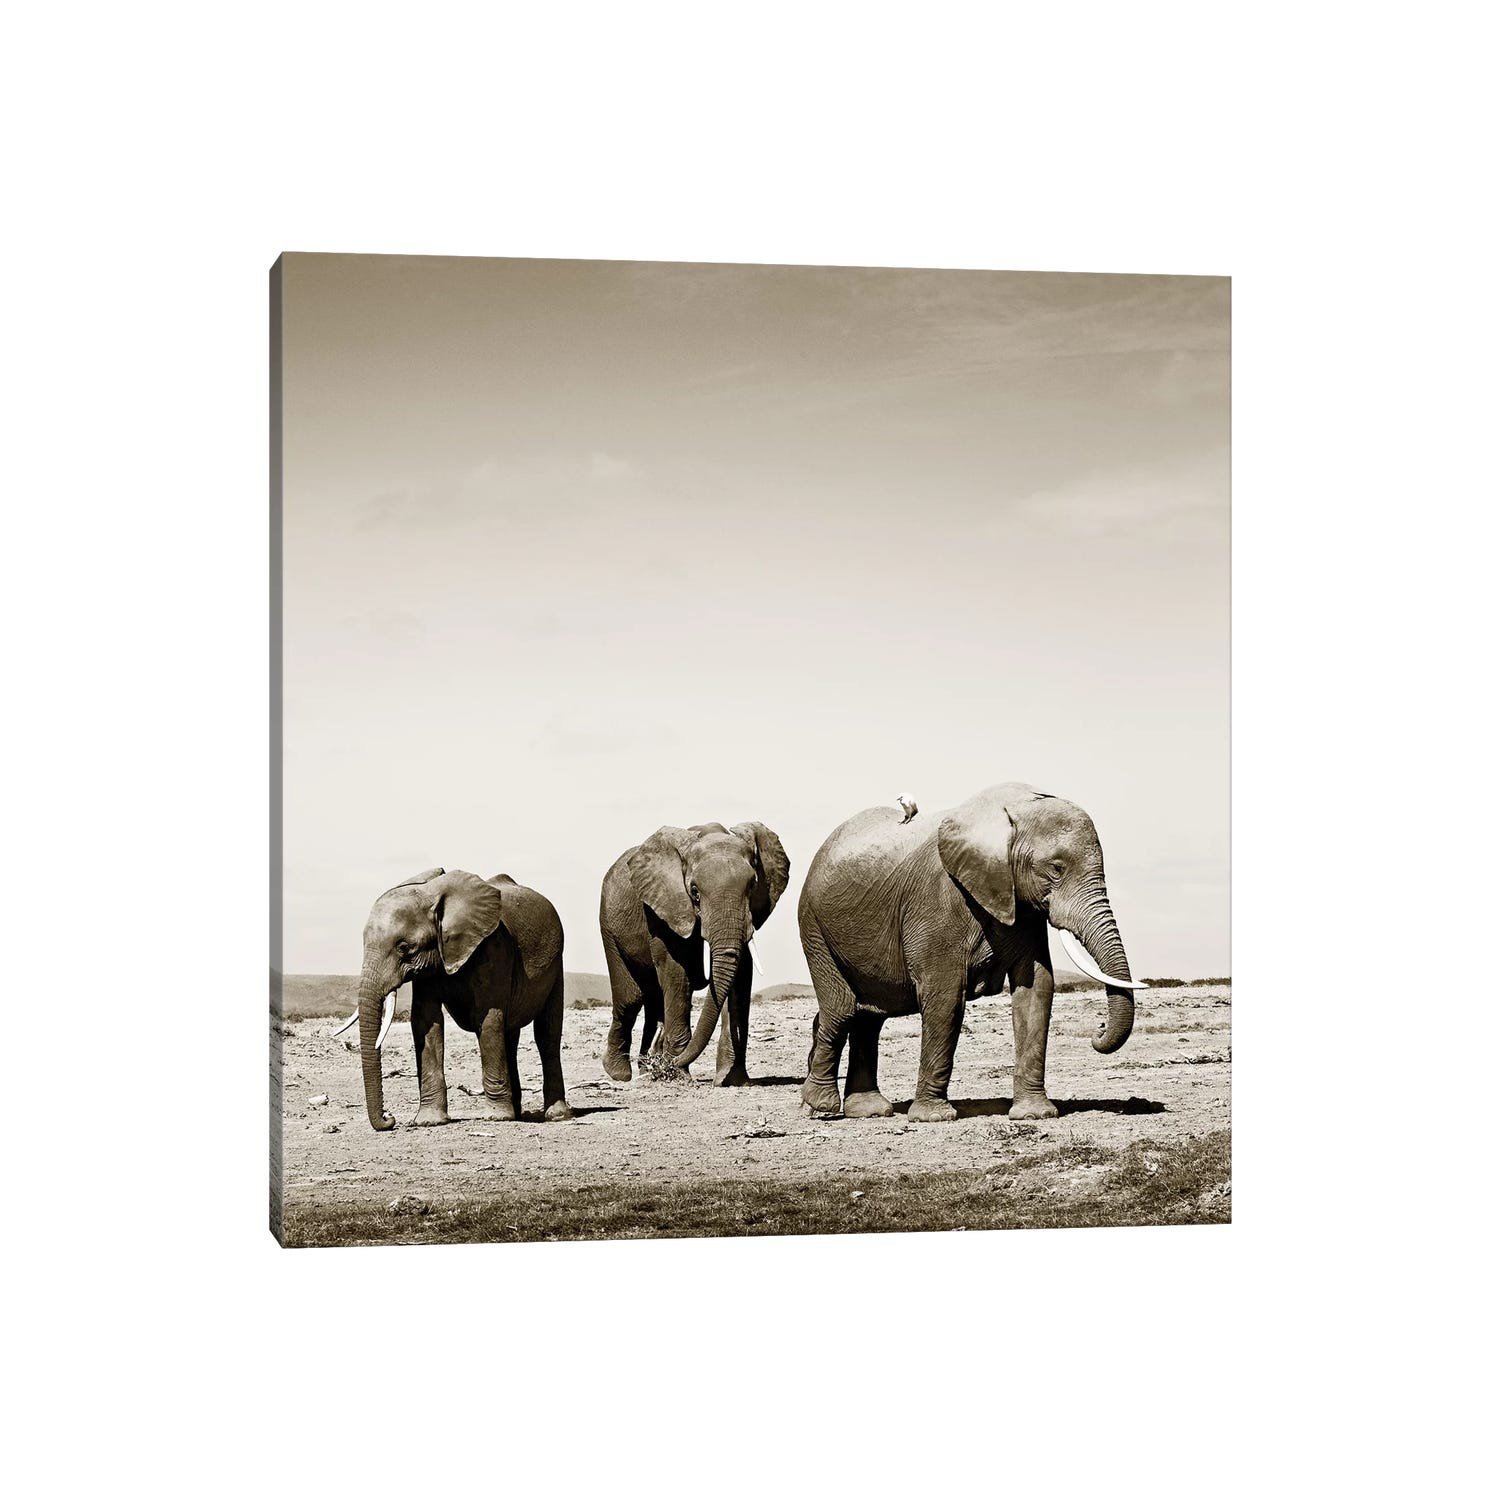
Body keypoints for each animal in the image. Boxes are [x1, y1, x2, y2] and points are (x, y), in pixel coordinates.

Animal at [339, 867, 573, 1131]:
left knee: (546, 1034)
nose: (390, 1119)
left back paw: (556, 1115)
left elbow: (488, 1018)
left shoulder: (494, 946)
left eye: (404, 947)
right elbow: (426, 1021)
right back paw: (518, 1111)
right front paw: (429, 1121)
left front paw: (497, 1117)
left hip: (557, 962)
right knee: (510, 1035)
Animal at [598, 822, 789, 1084]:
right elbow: (677, 973)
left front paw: (733, 1081)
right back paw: (620, 1073)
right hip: (607, 923)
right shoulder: (664, 908)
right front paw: (679, 1076)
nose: (663, 1066)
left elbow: (740, 976)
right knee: (631, 999)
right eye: (695, 891)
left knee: (653, 1002)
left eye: (752, 885)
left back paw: (645, 1069)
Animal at [798, 783, 1146, 1123]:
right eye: (1056, 868)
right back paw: (820, 1106)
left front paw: (1034, 1114)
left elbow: (1036, 988)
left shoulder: (1019, 901)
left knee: (869, 1015)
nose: (1098, 1032)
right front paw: (933, 1117)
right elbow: (946, 996)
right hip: (813, 925)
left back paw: (868, 1110)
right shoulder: (936, 899)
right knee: (843, 1008)